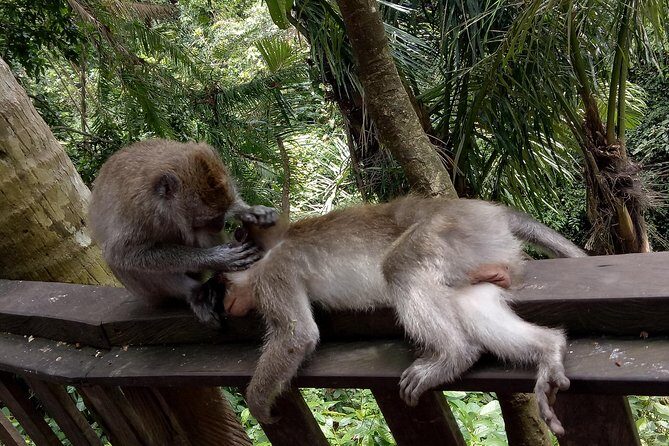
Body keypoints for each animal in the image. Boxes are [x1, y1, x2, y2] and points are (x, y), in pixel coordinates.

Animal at [88, 138, 277, 326]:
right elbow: (122, 254)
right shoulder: (137, 211)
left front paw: (251, 211)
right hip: (152, 297)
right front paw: (219, 258)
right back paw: (196, 292)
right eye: (210, 218)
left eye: (224, 212)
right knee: (118, 261)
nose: (219, 225)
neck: (163, 209)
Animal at [221, 196, 585, 435]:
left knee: (401, 265)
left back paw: (454, 355)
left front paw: (256, 403)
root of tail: (490, 211)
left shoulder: (273, 275)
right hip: (481, 251)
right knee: (470, 299)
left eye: (221, 282)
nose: (224, 302)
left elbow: (296, 336)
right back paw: (548, 348)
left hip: (452, 230)